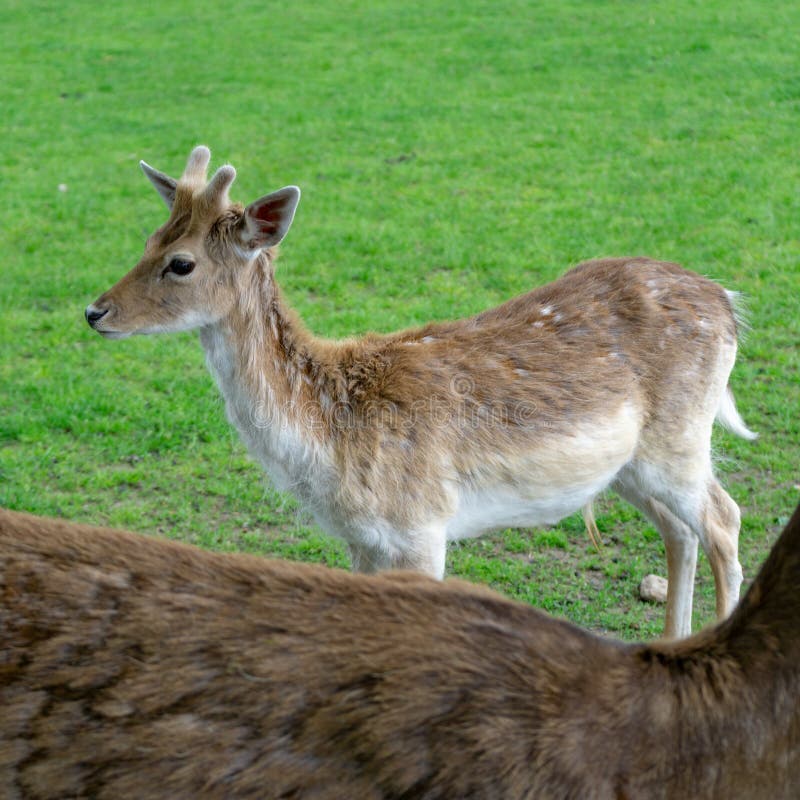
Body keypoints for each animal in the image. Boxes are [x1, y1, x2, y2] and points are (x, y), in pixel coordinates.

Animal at [85, 145, 755, 639]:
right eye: (147, 240)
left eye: (181, 262)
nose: (95, 311)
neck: (328, 440)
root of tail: (729, 306)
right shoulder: (362, 539)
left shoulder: (421, 525)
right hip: (629, 466)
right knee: (680, 531)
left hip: (679, 438)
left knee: (724, 518)